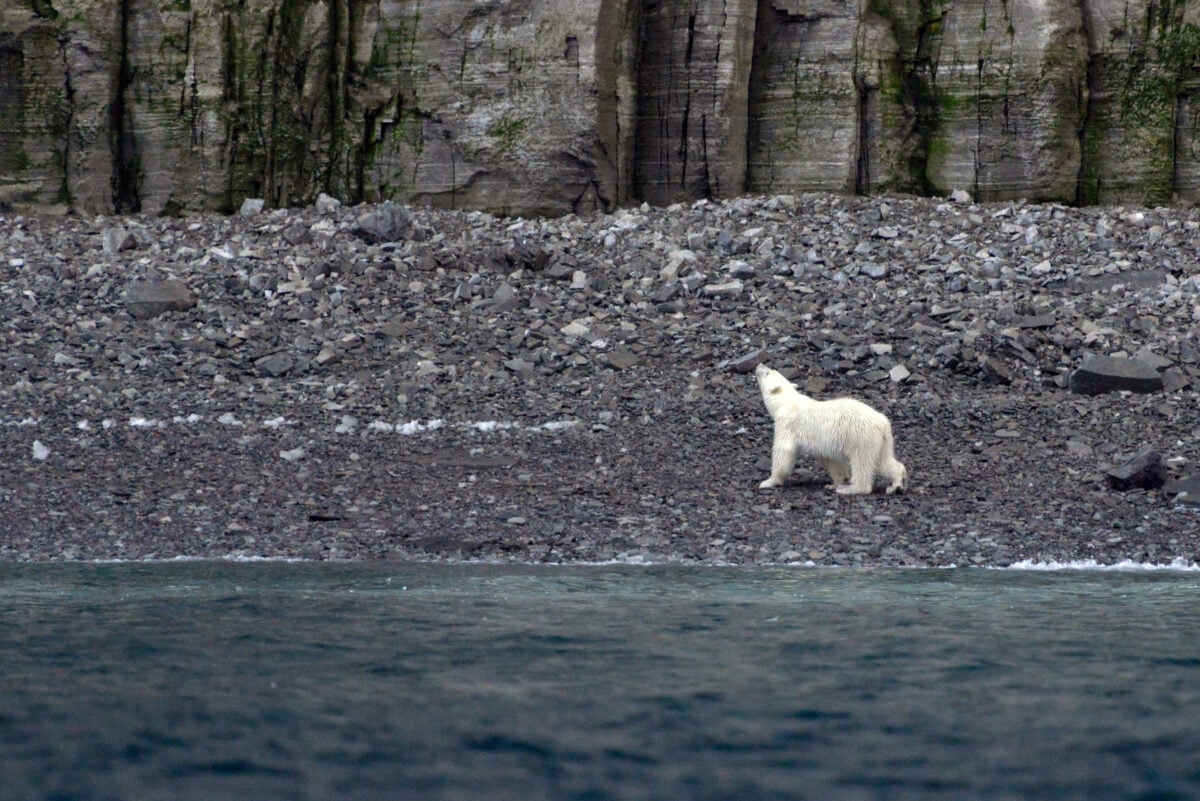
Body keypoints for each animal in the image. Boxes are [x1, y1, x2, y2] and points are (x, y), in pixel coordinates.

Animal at [755, 363, 906, 495]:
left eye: (768, 372)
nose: (760, 364)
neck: (786, 402)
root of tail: (883, 422)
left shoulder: (787, 423)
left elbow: (784, 451)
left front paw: (768, 481)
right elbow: (834, 462)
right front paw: (834, 484)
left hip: (861, 436)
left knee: (862, 462)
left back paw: (851, 489)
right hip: (882, 441)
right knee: (883, 461)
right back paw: (896, 484)